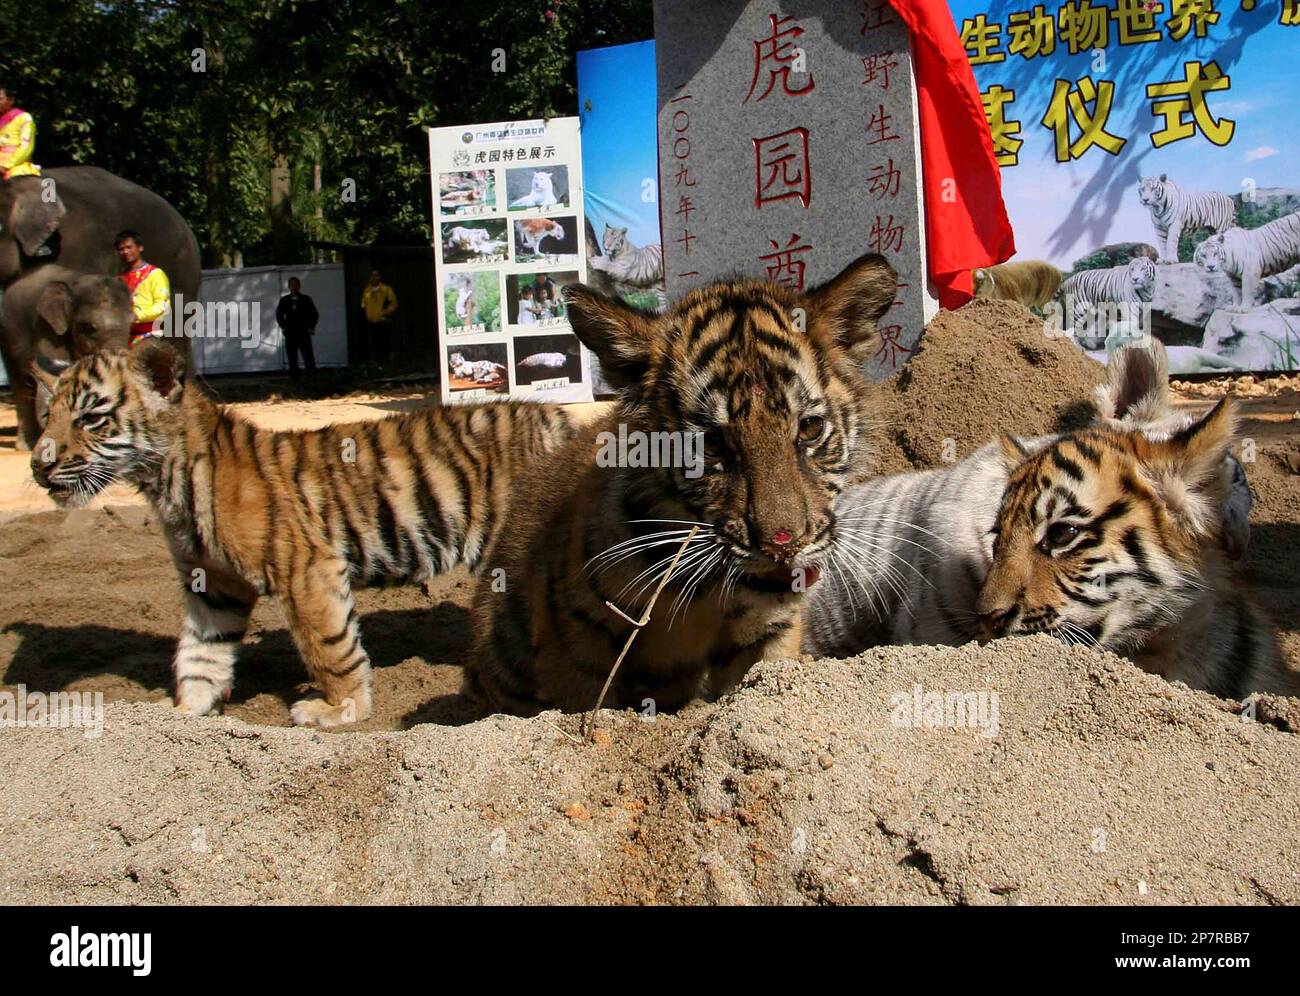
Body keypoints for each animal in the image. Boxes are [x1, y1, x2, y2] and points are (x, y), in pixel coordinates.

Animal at [28, 340, 577, 727]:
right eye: (46, 415)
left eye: (91, 418)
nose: (38, 465)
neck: (166, 481)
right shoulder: (213, 586)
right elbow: (198, 655)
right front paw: (183, 717)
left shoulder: (307, 572)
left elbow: (329, 649)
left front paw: (340, 710)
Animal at [463, 253, 899, 716]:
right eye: (712, 443)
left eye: (810, 428)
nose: (783, 546)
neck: (711, 588)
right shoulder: (573, 632)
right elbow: (584, 696)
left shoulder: (769, 631)